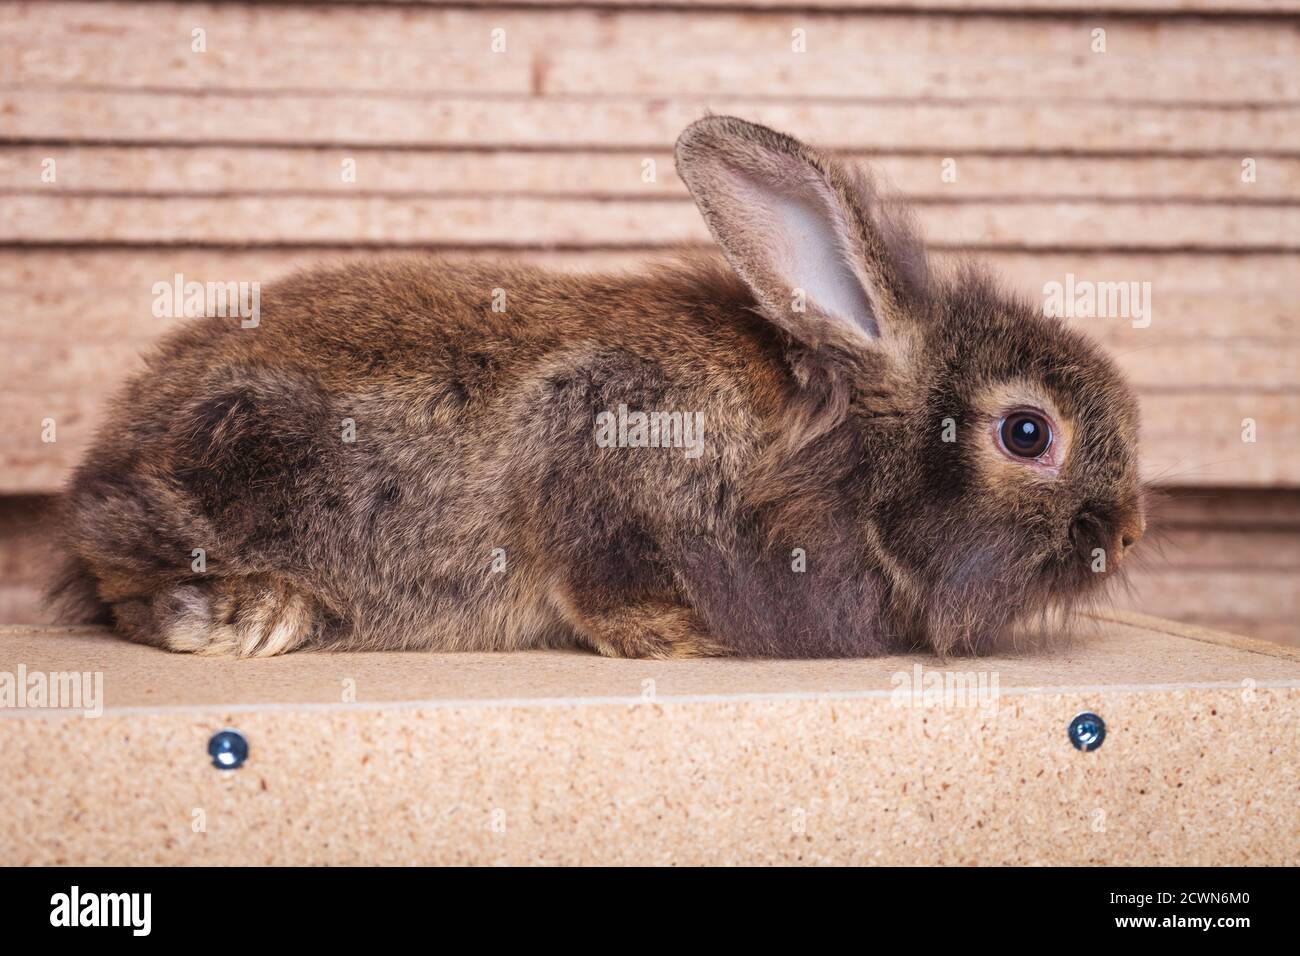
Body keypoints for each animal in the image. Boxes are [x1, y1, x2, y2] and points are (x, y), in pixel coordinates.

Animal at [50, 115, 1146, 659]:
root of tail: (111, 456)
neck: (838, 453)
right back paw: (250, 616)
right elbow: (596, 576)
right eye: (1026, 433)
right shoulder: (596, 433)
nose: (1131, 531)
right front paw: (683, 638)